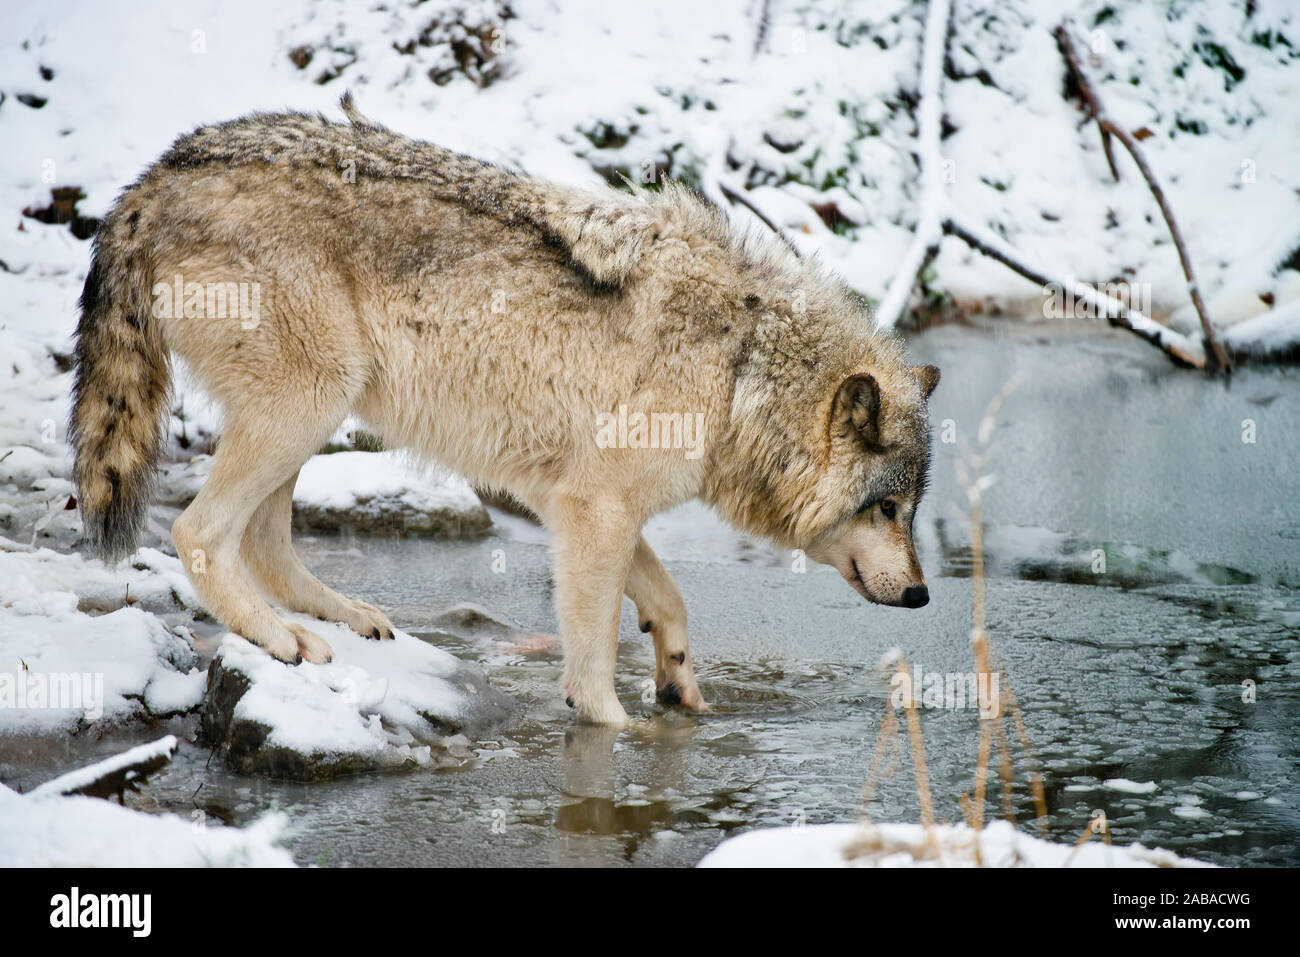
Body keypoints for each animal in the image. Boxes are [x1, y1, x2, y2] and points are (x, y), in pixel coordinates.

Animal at [71, 96, 940, 727]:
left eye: (910, 510)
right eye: (886, 507)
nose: (923, 597)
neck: (740, 368)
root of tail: (156, 177)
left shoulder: (574, 499)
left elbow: (667, 597)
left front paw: (679, 681)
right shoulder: (594, 508)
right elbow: (592, 657)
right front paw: (616, 730)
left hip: (310, 415)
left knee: (265, 540)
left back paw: (345, 617)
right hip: (306, 406)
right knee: (200, 532)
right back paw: (283, 637)